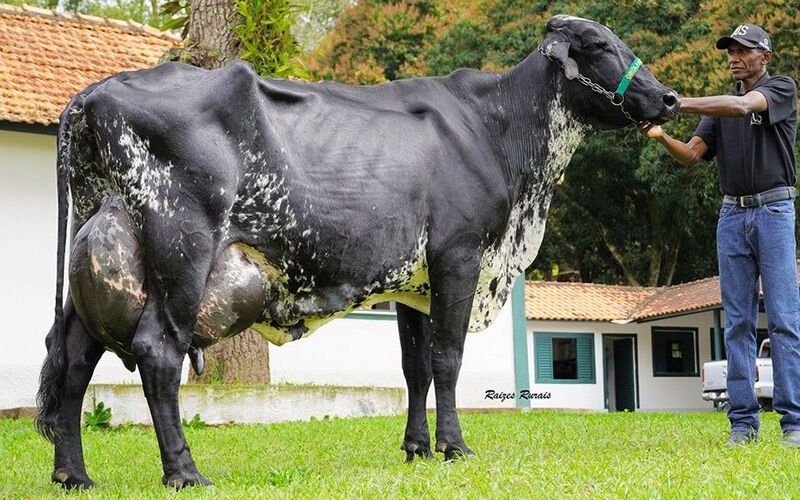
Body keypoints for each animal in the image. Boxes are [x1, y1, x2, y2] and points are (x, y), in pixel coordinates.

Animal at [36, 15, 678, 489]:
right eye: (600, 45)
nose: (669, 98)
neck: (499, 133)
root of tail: (93, 93)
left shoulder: (413, 283)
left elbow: (416, 367)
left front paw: (417, 449)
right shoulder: (459, 255)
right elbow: (448, 359)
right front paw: (454, 448)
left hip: (101, 253)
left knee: (72, 358)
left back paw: (74, 475)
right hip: (181, 249)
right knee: (157, 352)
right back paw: (185, 472)